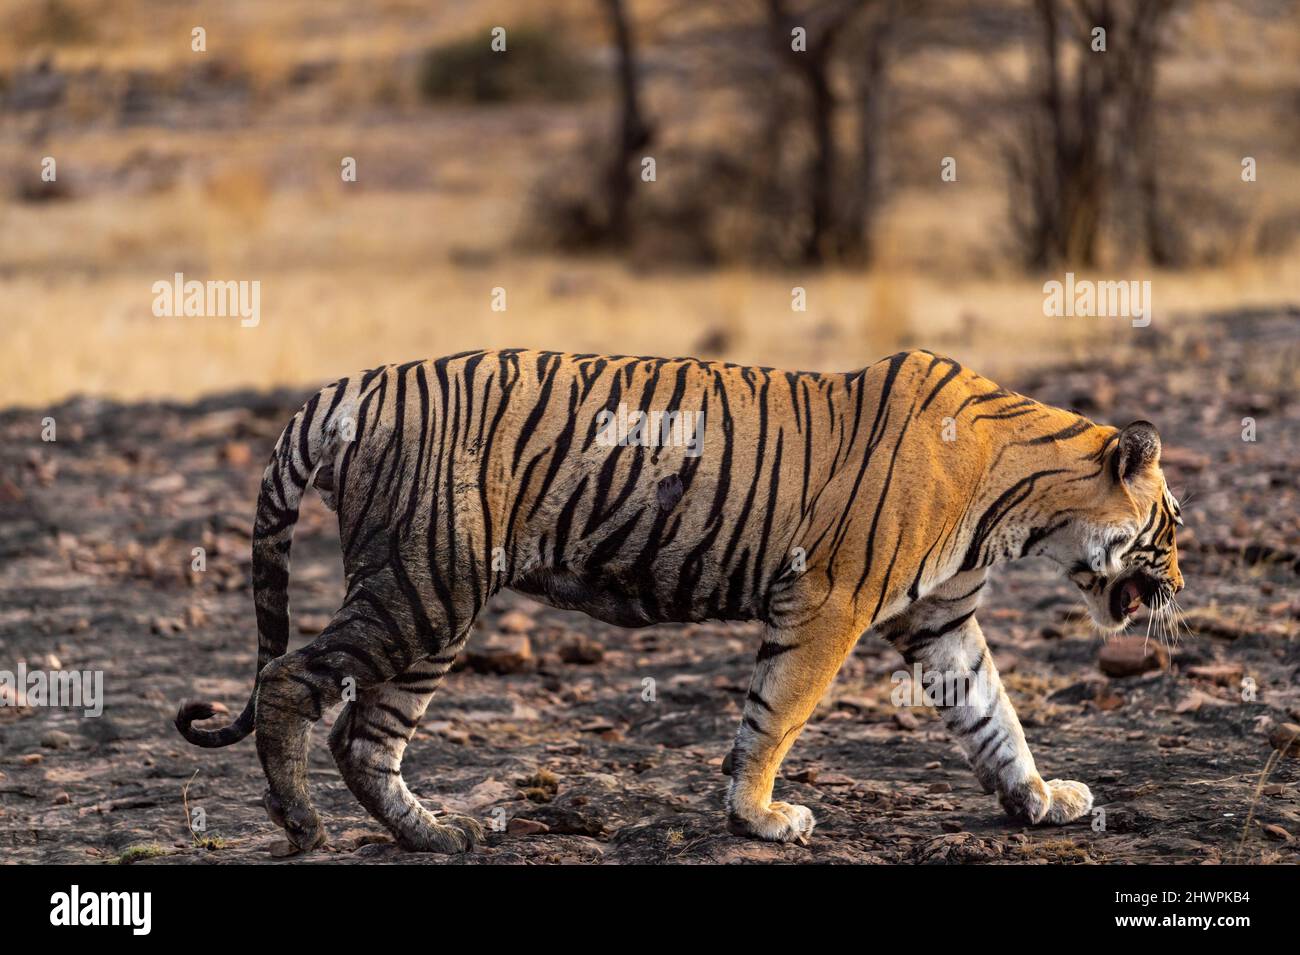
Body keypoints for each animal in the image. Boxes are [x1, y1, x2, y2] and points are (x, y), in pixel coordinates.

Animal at [176, 348, 1184, 852]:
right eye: (1171, 526)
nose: (1179, 585)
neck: (1022, 506)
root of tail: (352, 383)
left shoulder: (937, 619)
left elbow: (993, 716)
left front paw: (1040, 799)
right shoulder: (830, 598)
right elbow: (778, 713)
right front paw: (760, 817)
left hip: (432, 607)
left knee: (364, 734)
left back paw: (435, 834)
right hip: (423, 587)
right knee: (291, 681)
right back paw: (302, 824)